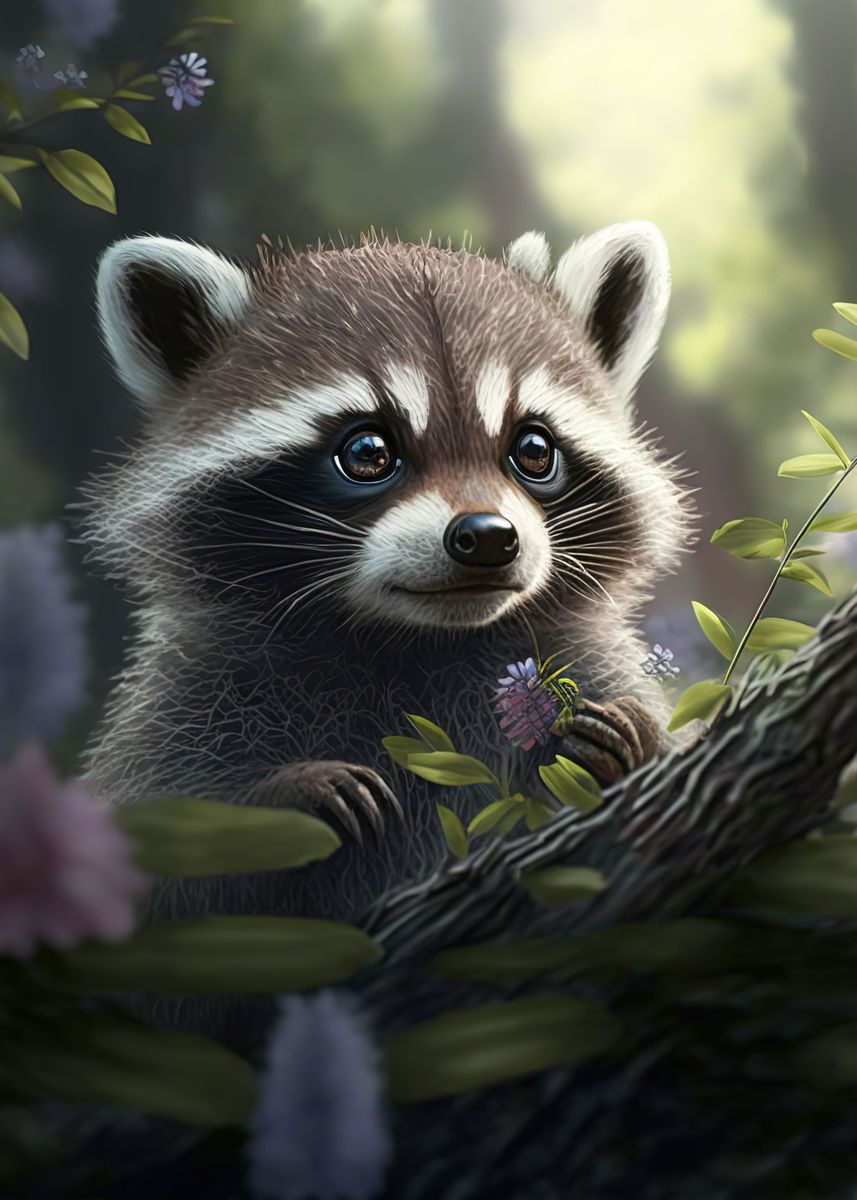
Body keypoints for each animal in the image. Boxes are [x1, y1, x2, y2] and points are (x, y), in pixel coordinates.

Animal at [83, 223, 691, 945]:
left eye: (534, 450)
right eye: (368, 452)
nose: (488, 537)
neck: (420, 640)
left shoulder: (584, 661)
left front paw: (630, 744)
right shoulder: (189, 696)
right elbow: (150, 864)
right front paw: (280, 799)